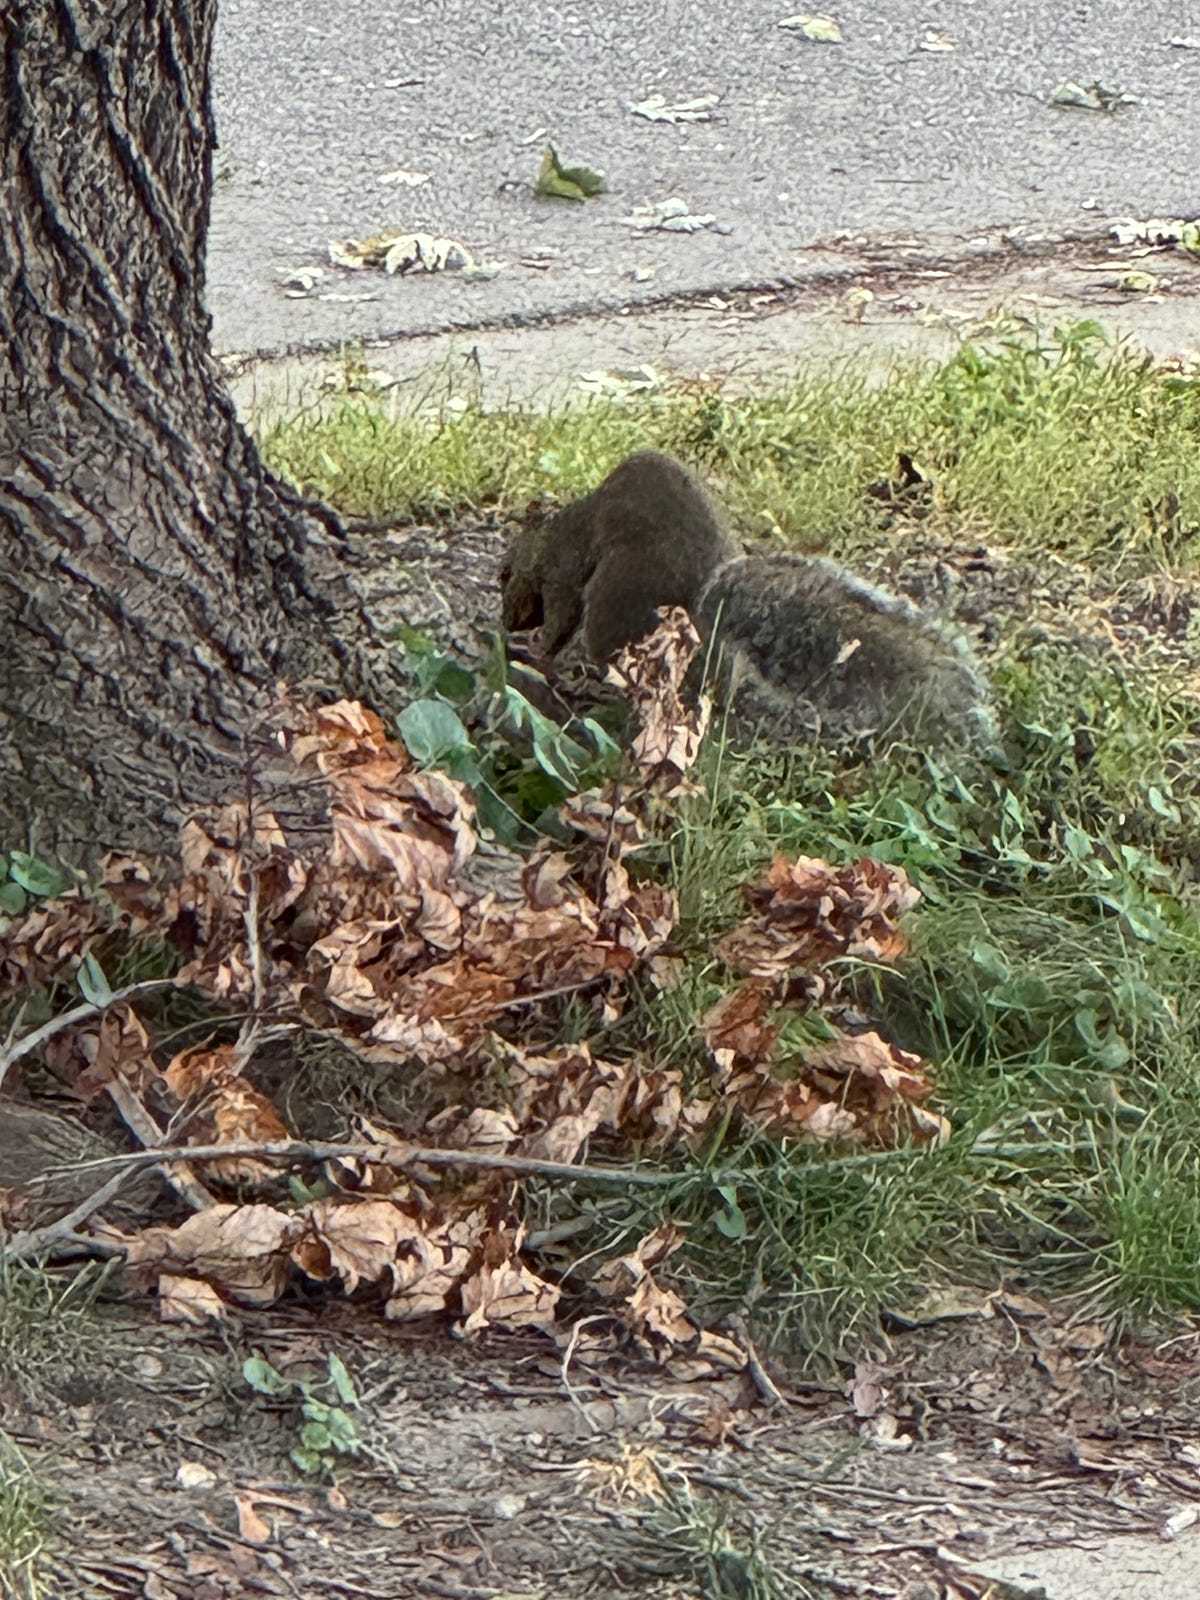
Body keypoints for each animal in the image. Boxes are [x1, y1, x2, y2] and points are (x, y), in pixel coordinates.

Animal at [500, 449, 995, 750]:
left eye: (506, 571)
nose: (508, 620)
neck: (556, 530)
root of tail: (701, 616)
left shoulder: (563, 571)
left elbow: (560, 618)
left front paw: (533, 647)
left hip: (614, 609)